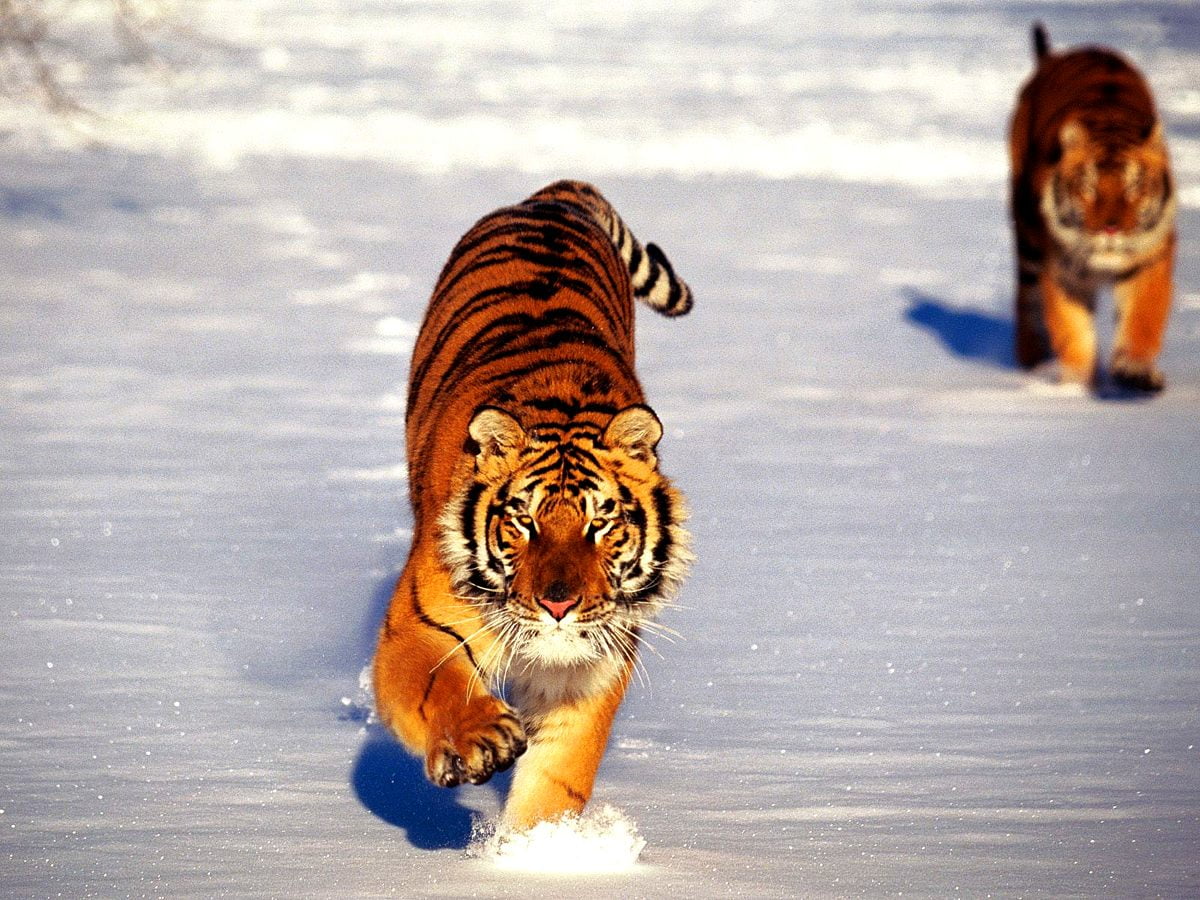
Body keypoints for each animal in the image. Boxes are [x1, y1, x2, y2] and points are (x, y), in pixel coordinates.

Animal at [372, 180, 692, 830]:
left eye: (601, 523)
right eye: (523, 521)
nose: (558, 605)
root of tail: (555, 193)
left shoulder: (591, 666)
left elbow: (557, 778)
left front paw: (534, 848)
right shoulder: (413, 629)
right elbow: (437, 684)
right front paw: (478, 739)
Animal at [1009, 22, 1177, 391]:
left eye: (1134, 187)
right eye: (1088, 188)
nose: (1110, 229)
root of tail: (1054, 57)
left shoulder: (1150, 259)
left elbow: (1143, 317)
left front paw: (1135, 370)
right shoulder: (1062, 271)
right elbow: (1073, 333)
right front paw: (1076, 389)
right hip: (1027, 234)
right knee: (1025, 296)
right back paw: (1031, 362)